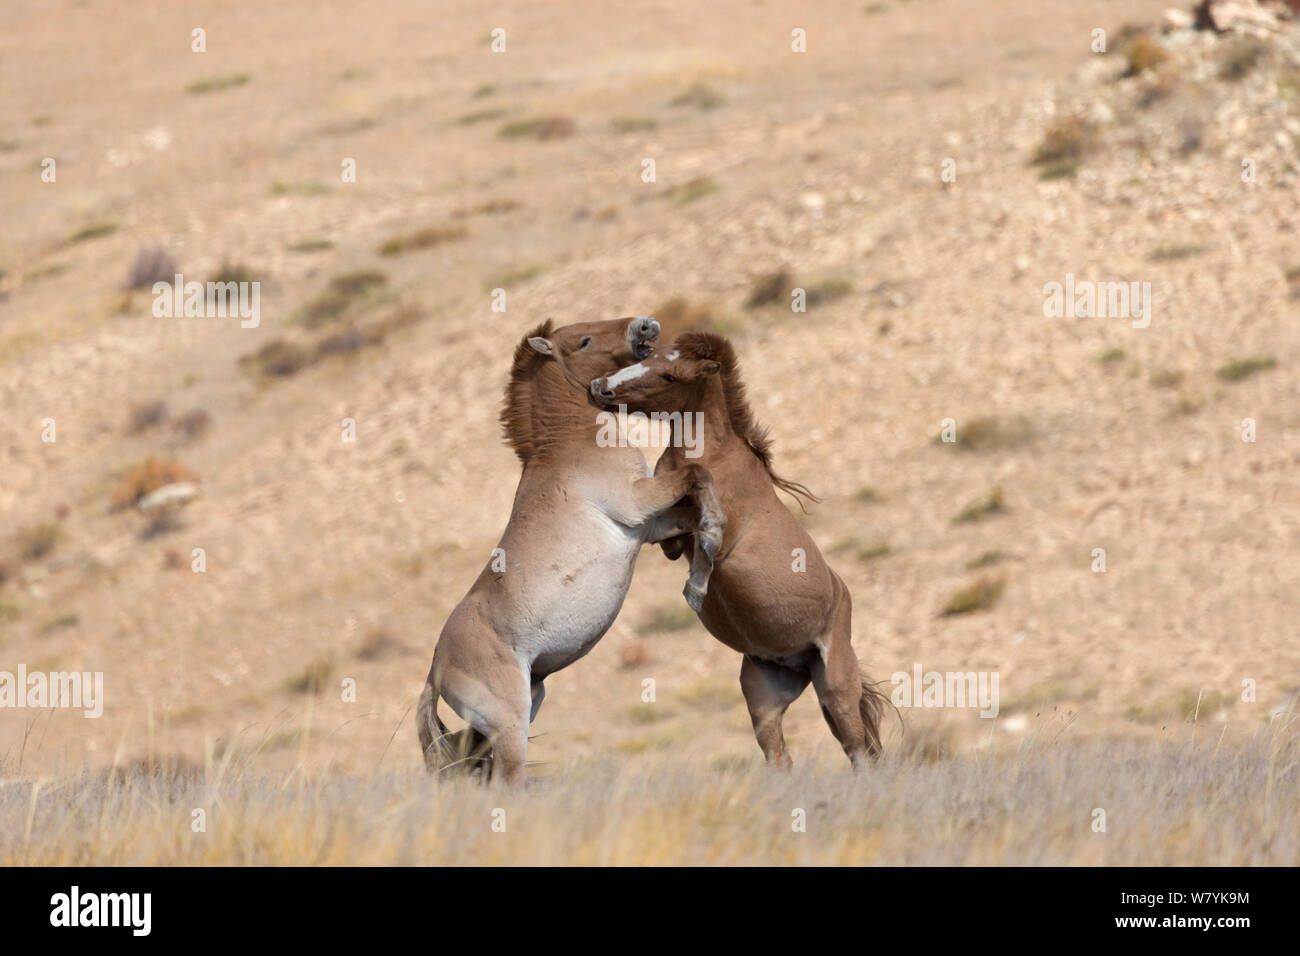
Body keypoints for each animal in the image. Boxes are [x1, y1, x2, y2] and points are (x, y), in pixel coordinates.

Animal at [417, 316, 726, 783]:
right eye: (584, 340)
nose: (645, 325)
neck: (571, 444)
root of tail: (437, 669)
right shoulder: (638, 503)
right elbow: (697, 473)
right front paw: (710, 542)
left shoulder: (648, 524)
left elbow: (691, 504)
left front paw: (700, 568)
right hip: (511, 726)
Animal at [590, 332, 888, 769]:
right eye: (648, 355)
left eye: (669, 374)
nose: (601, 387)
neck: (711, 454)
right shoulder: (670, 531)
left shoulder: (722, 538)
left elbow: (707, 538)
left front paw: (696, 589)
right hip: (763, 696)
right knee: (780, 757)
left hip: (836, 686)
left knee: (858, 750)